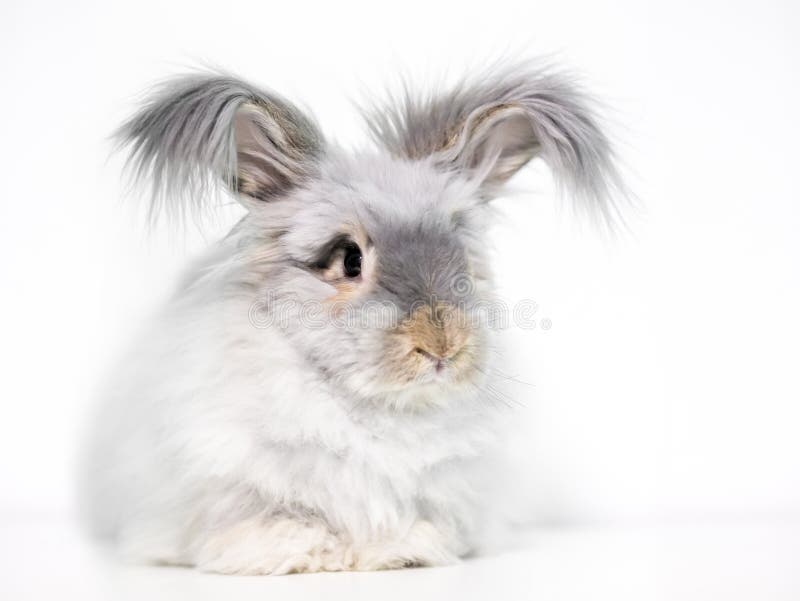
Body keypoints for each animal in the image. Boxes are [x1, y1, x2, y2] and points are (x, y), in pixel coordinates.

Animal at [81, 61, 623, 575]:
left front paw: (402, 550)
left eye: (464, 262)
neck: (373, 408)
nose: (442, 347)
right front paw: (299, 551)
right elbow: (268, 518)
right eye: (349, 259)